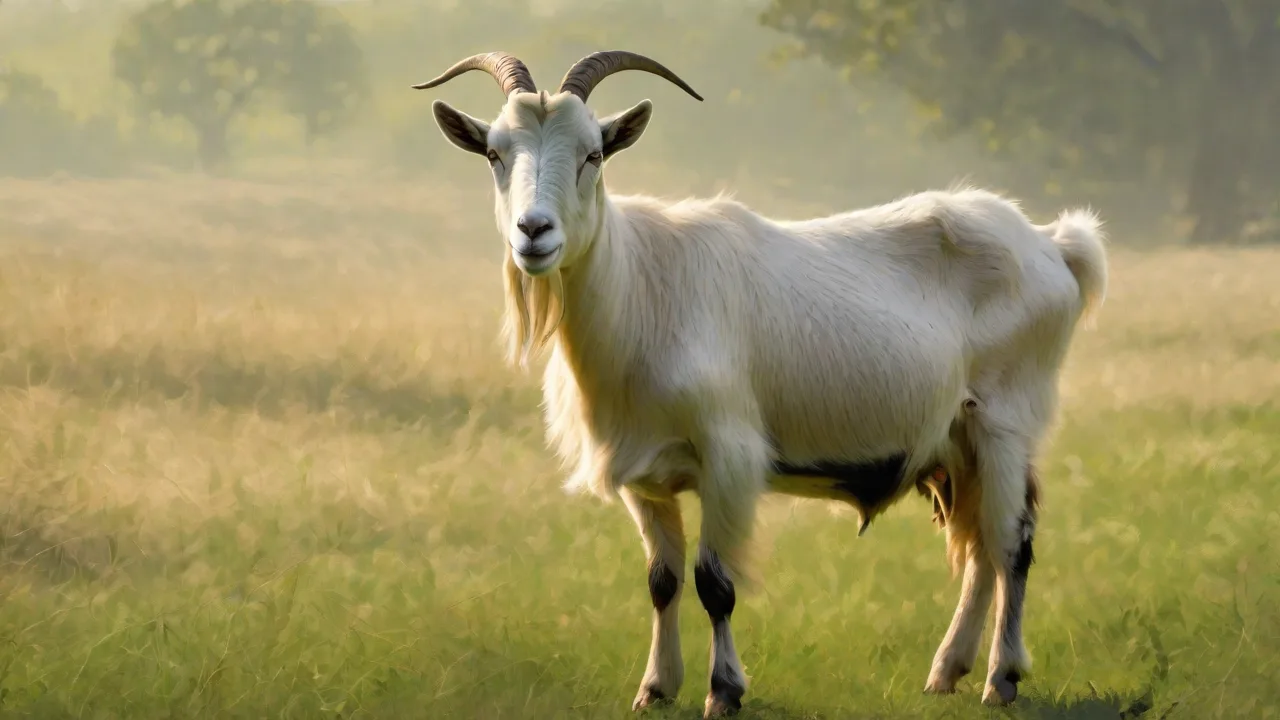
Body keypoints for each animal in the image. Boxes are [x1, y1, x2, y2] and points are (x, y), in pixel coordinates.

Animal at [415, 50, 1108, 717]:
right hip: (958, 441)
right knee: (980, 545)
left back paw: (1001, 678)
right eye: (495, 154)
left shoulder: (729, 458)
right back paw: (946, 673)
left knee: (1010, 542)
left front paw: (723, 692)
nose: (534, 232)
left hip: (1004, 420)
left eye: (593, 152)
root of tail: (1053, 245)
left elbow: (714, 583)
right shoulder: (645, 474)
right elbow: (662, 581)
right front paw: (654, 688)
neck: (643, 286)